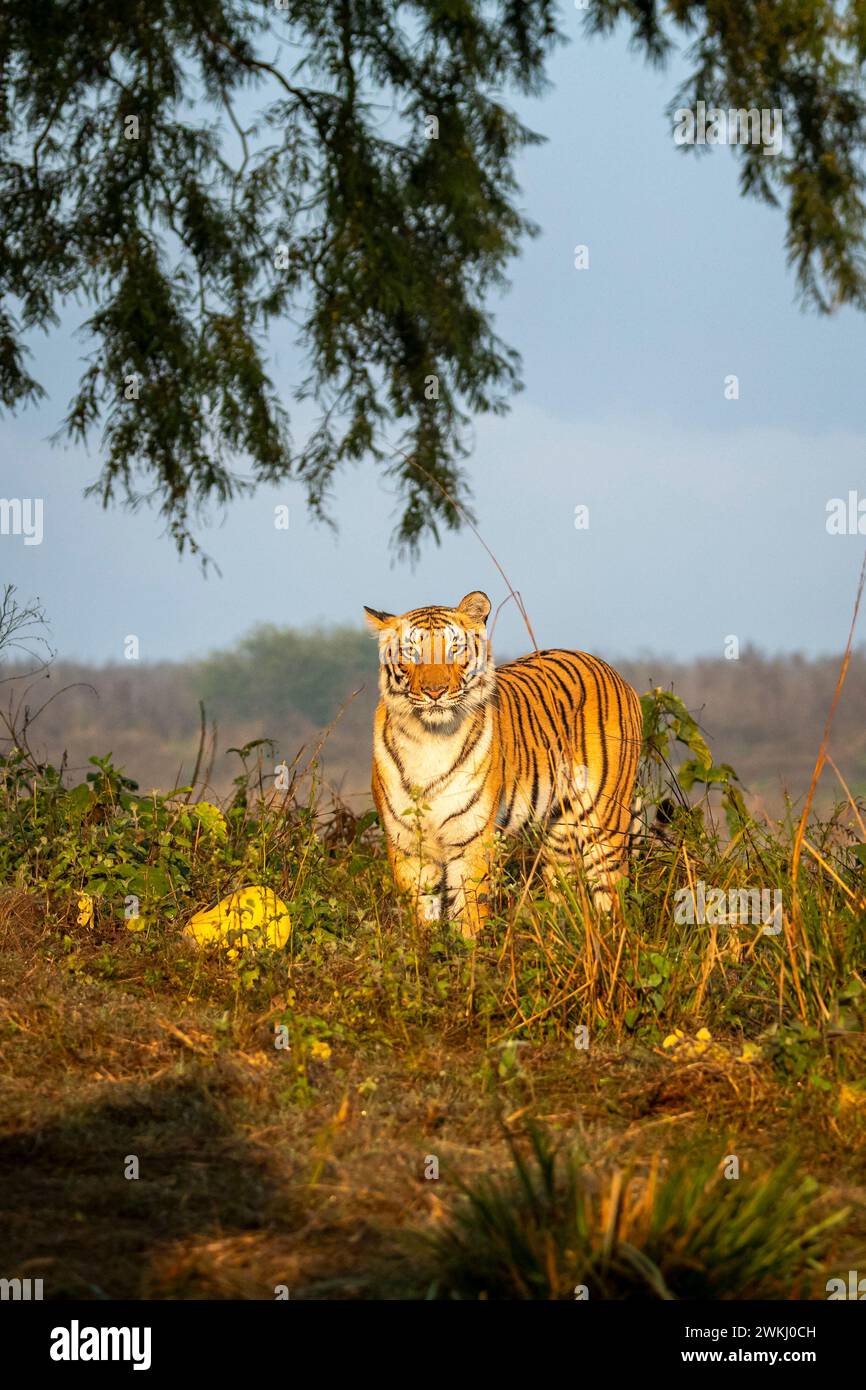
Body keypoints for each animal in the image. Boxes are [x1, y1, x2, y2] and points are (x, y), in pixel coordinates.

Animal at [364, 590, 643, 937]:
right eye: (412, 654)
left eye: (454, 650)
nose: (435, 692)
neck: (429, 739)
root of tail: (611, 670)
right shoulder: (407, 846)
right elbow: (423, 917)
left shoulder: (471, 841)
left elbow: (468, 914)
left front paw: (468, 949)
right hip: (559, 835)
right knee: (565, 892)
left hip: (604, 823)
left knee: (612, 895)